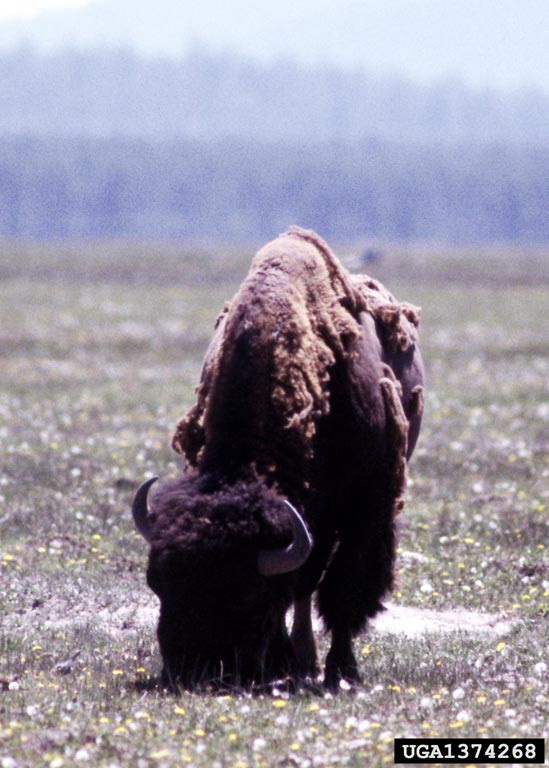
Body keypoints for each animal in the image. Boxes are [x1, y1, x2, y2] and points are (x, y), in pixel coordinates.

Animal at [133, 226, 424, 690]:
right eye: (157, 582)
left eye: (244, 595)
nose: (189, 671)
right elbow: (299, 584)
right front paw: (284, 661)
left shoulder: (361, 508)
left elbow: (340, 586)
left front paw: (341, 670)